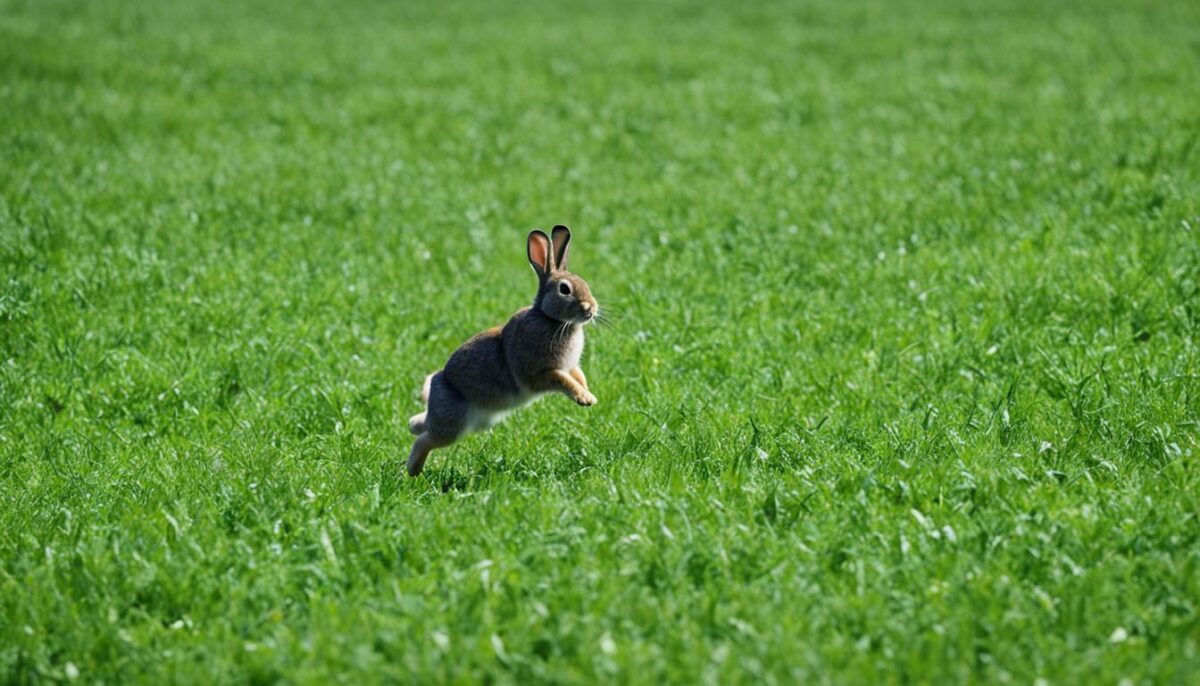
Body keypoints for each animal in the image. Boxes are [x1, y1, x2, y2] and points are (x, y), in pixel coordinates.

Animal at [406, 225, 599, 476]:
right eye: (564, 289)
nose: (591, 309)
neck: (550, 319)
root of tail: (438, 383)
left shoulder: (570, 366)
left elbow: (578, 376)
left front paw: (589, 395)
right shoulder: (538, 373)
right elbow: (563, 380)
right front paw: (585, 399)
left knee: (423, 427)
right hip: (453, 423)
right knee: (426, 439)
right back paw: (413, 472)